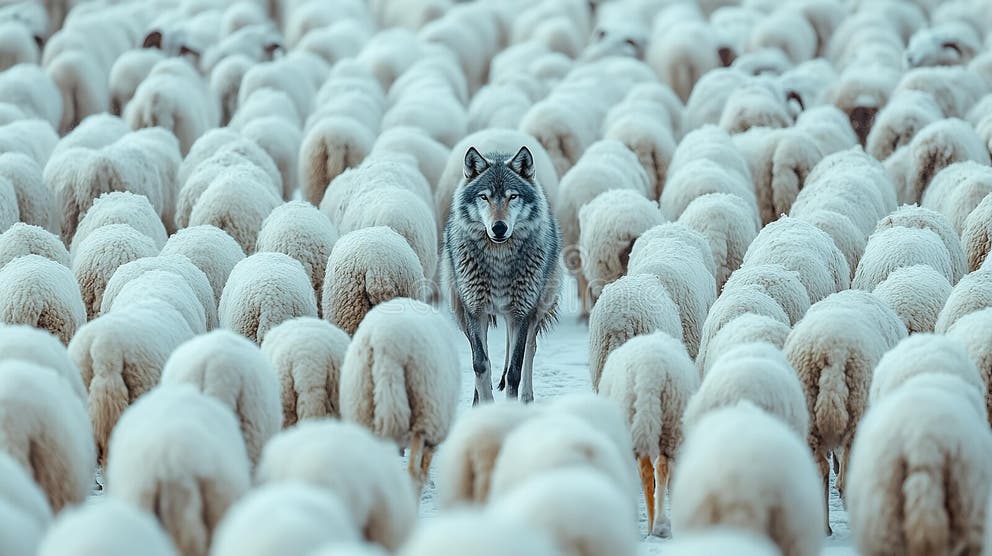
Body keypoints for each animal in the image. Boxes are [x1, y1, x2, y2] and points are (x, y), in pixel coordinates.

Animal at [441, 145, 562, 404]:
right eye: (484, 197)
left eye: (512, 196)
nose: (499, 228)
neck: (499, 261)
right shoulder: (475, 312)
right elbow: (480, 364)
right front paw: (485, 405)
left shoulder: (521, 313)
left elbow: (515, 370)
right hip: (462, 312)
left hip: (537, 309)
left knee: (530, 350)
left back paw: (526, 398)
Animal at [597, 331, 699, 537]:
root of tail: (651, 371)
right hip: (670, 421)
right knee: (660, 467)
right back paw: (660, 525)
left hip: (637, 422)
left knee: (647, 470)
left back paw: (654, 525)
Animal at [785, 289, 908, 533]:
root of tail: (832, 351)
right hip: (857, 415)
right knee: (844, 479)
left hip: (808, 416)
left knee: (819, 470)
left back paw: (825, 527)